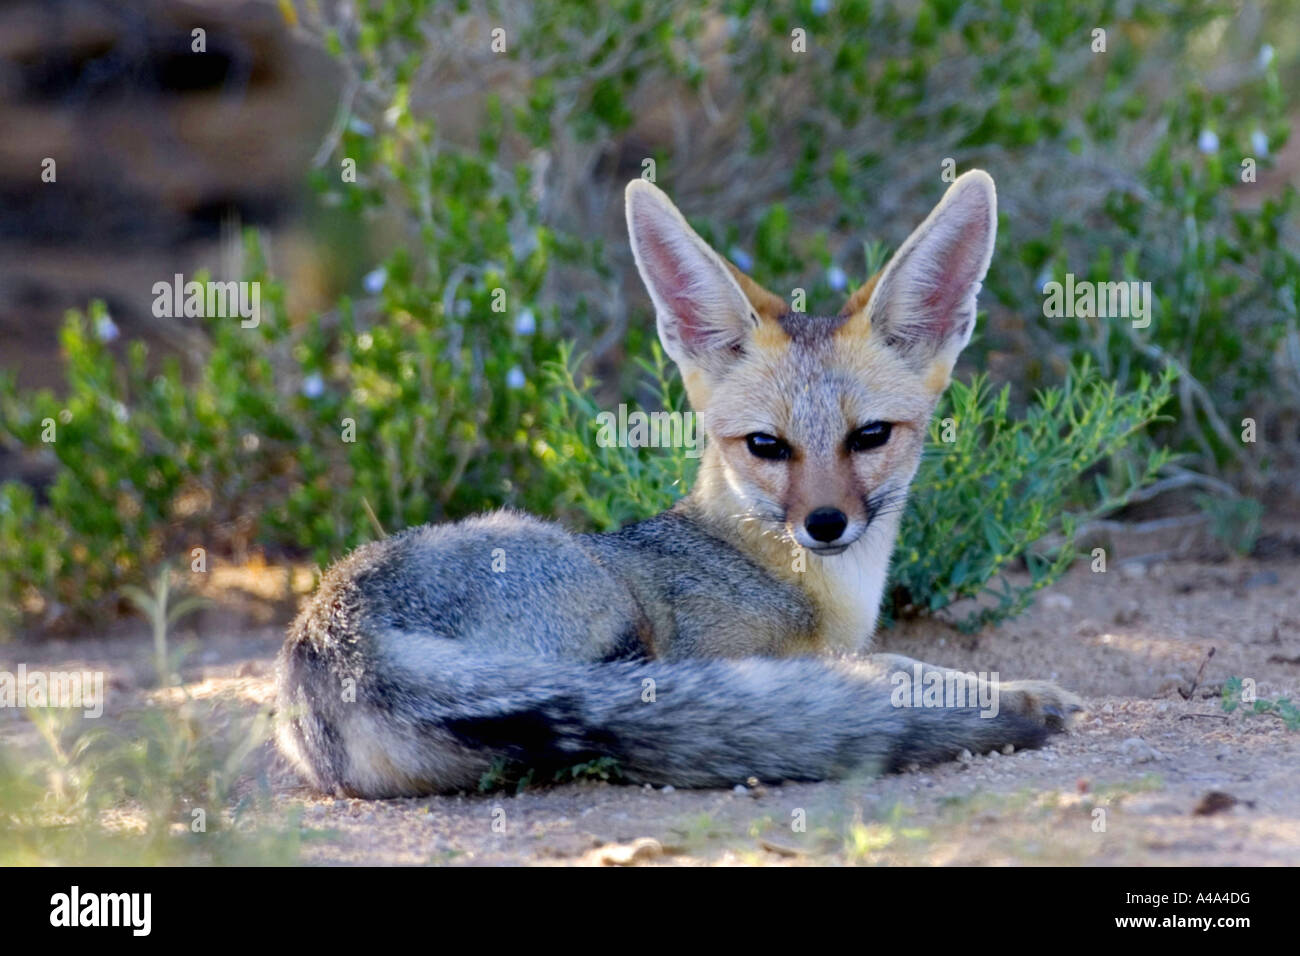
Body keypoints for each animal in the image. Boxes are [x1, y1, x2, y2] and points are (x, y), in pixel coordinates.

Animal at [275, 169, 1084, 799]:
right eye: (766, 446)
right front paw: (1012, 693)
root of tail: (338, 640)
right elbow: (894, 668)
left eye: (870, 436)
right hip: (599, 599)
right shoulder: (728, 649)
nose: (826, 523)